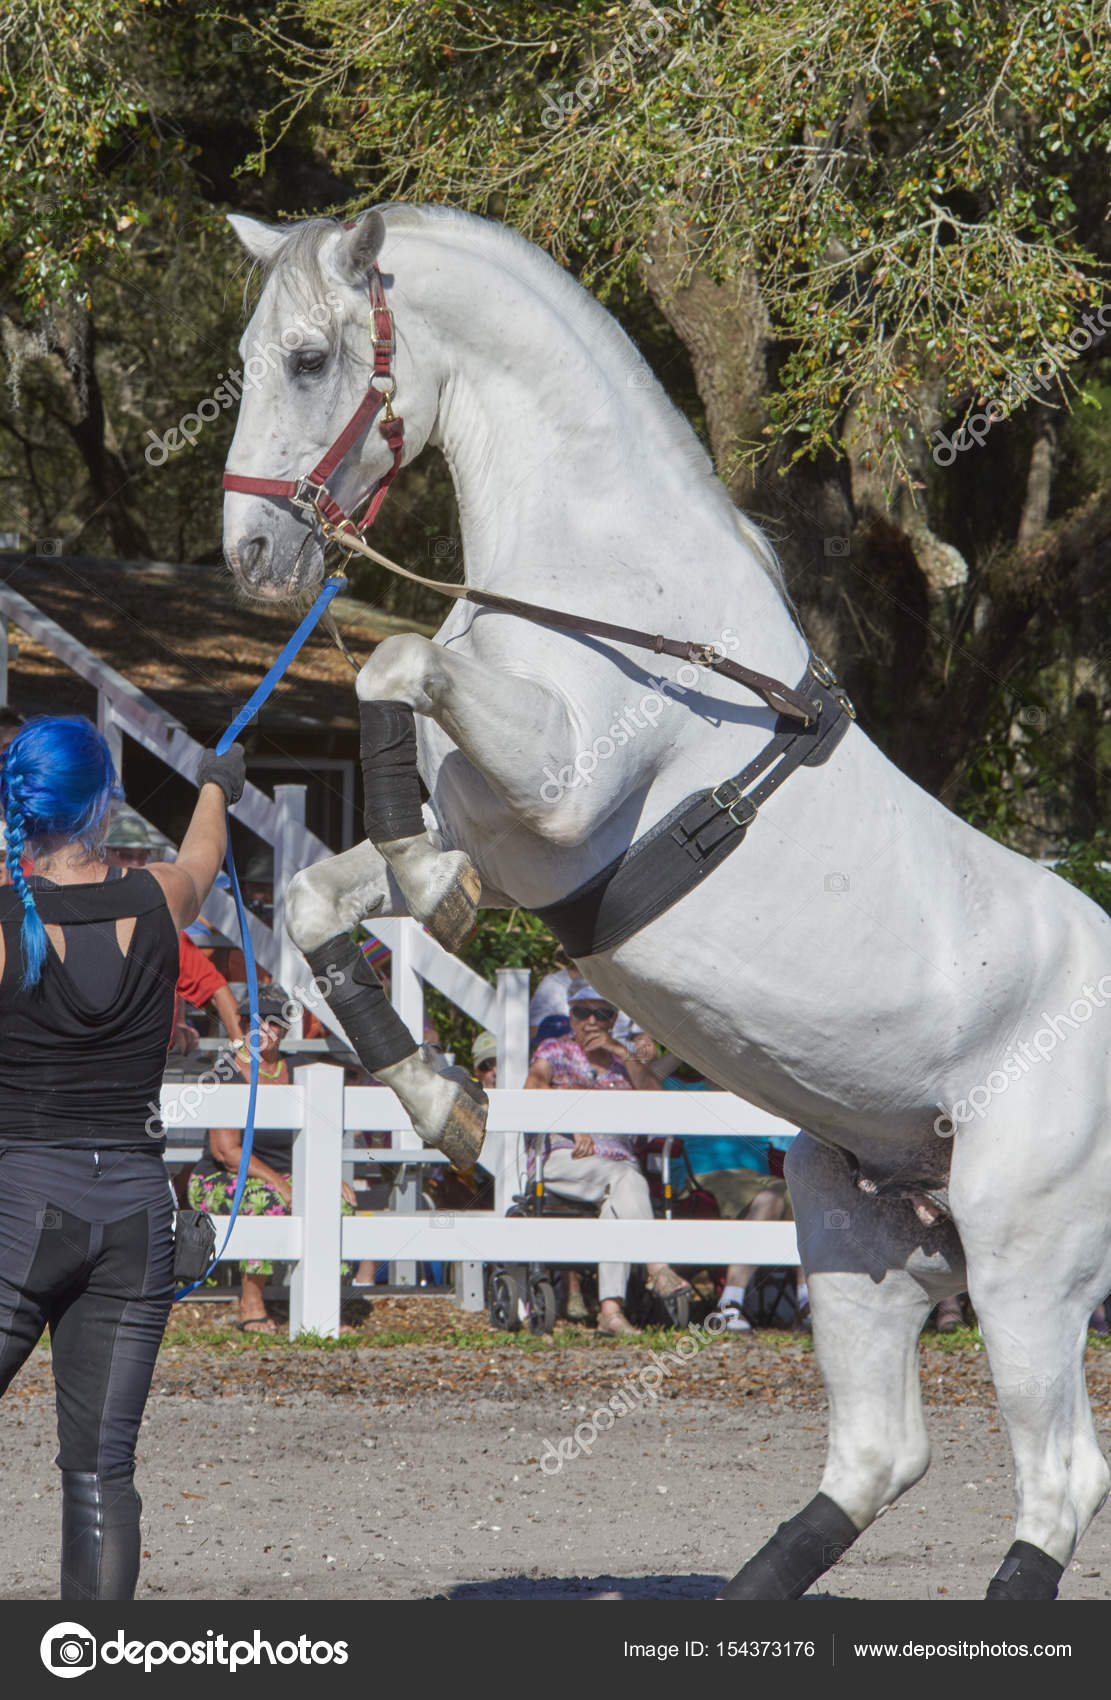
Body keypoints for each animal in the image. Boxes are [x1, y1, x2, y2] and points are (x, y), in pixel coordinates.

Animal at [220, 204, 1111, 1600]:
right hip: (858, 1234)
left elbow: (393, 661)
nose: (251, 556)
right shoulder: (505, 844)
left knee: (1059, 1474)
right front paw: (443, 1096)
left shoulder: (561, 795)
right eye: (249, 360)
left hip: (1028, 1257)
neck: (606, 577)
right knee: (877, 1453)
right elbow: (320, 900)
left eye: (310, 360)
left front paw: (419, 897)